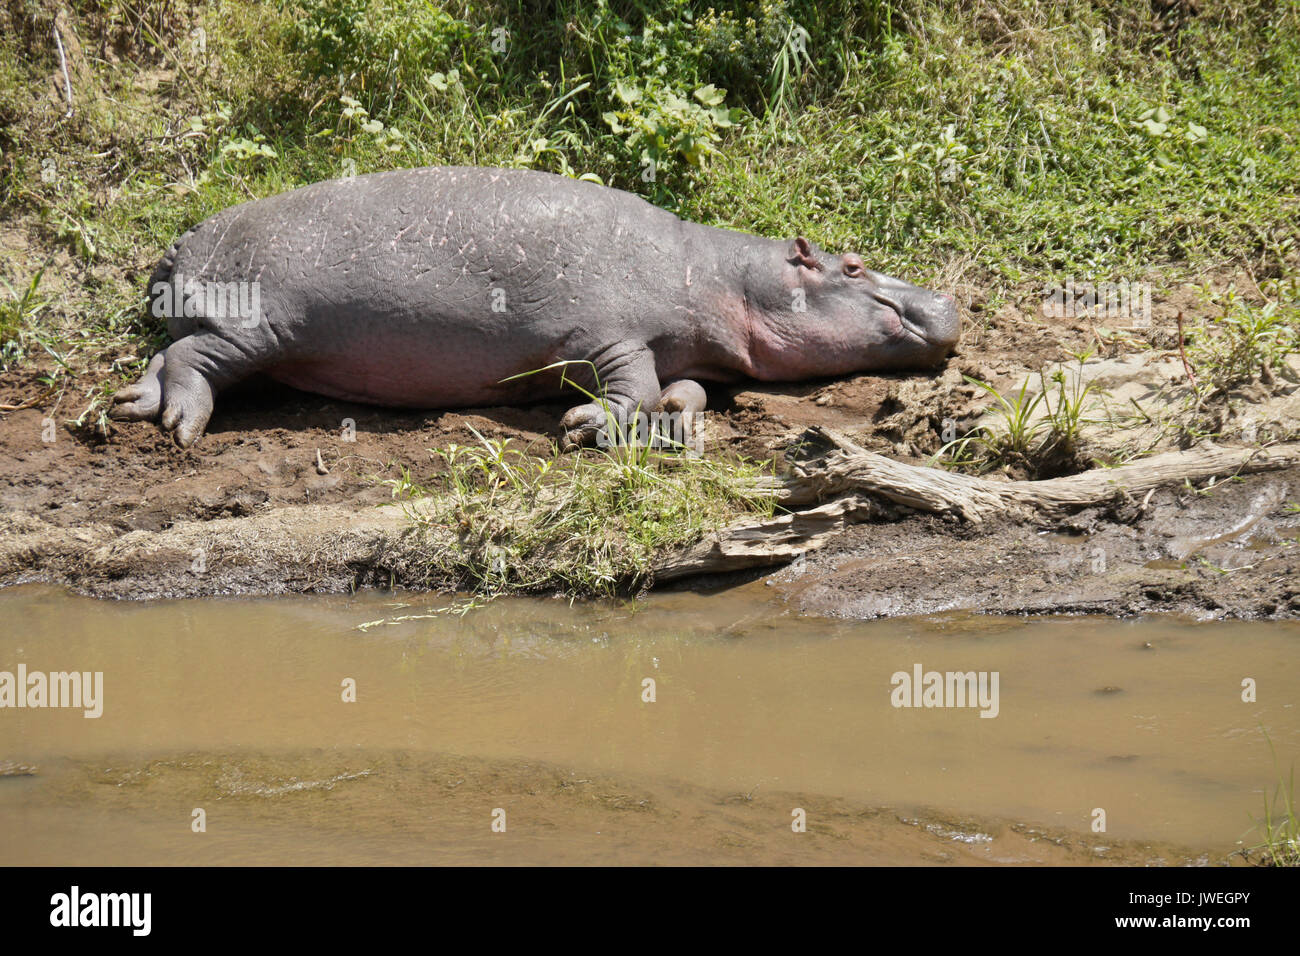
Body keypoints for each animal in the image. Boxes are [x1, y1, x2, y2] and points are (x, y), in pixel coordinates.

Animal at [111, 166, 959, 447]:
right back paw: (182, 429)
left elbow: (680, 385)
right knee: (188, 358)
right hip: (261, 328)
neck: (725, 277)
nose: (949, 299)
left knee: (160, 352)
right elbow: (635, 381)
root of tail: (182, 239)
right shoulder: (608, 331)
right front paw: (584, 423)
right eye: (853, 264)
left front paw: (676, 409)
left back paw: (128, 408)